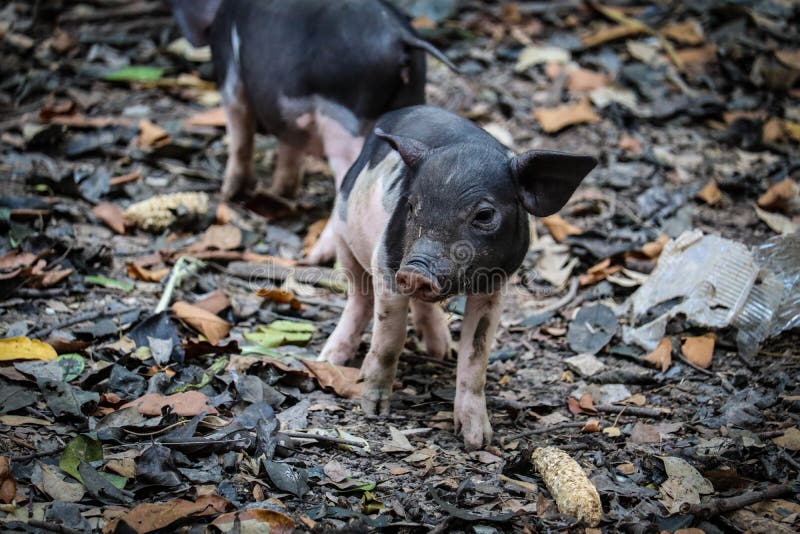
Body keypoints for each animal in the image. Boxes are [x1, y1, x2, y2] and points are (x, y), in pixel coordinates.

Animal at [169, 0, 458, 263]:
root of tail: (400, 36)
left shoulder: (229, 71)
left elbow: (240, 132)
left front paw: (228, 193)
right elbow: (289, 145)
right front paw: (280, 191)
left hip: (343, 125)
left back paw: (314, 257)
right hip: (413, 95)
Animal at [318, 105, 597, 449]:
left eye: (485, 215)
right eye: (412, 206)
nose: (416, 271)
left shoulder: (495, 286)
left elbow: (476, 353)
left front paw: (477, 440)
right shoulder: (386, 264)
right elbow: (389, 339)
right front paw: (374, 410)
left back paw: (441, 350)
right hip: (343, 232)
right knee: (359, 298)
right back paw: (330, 360)